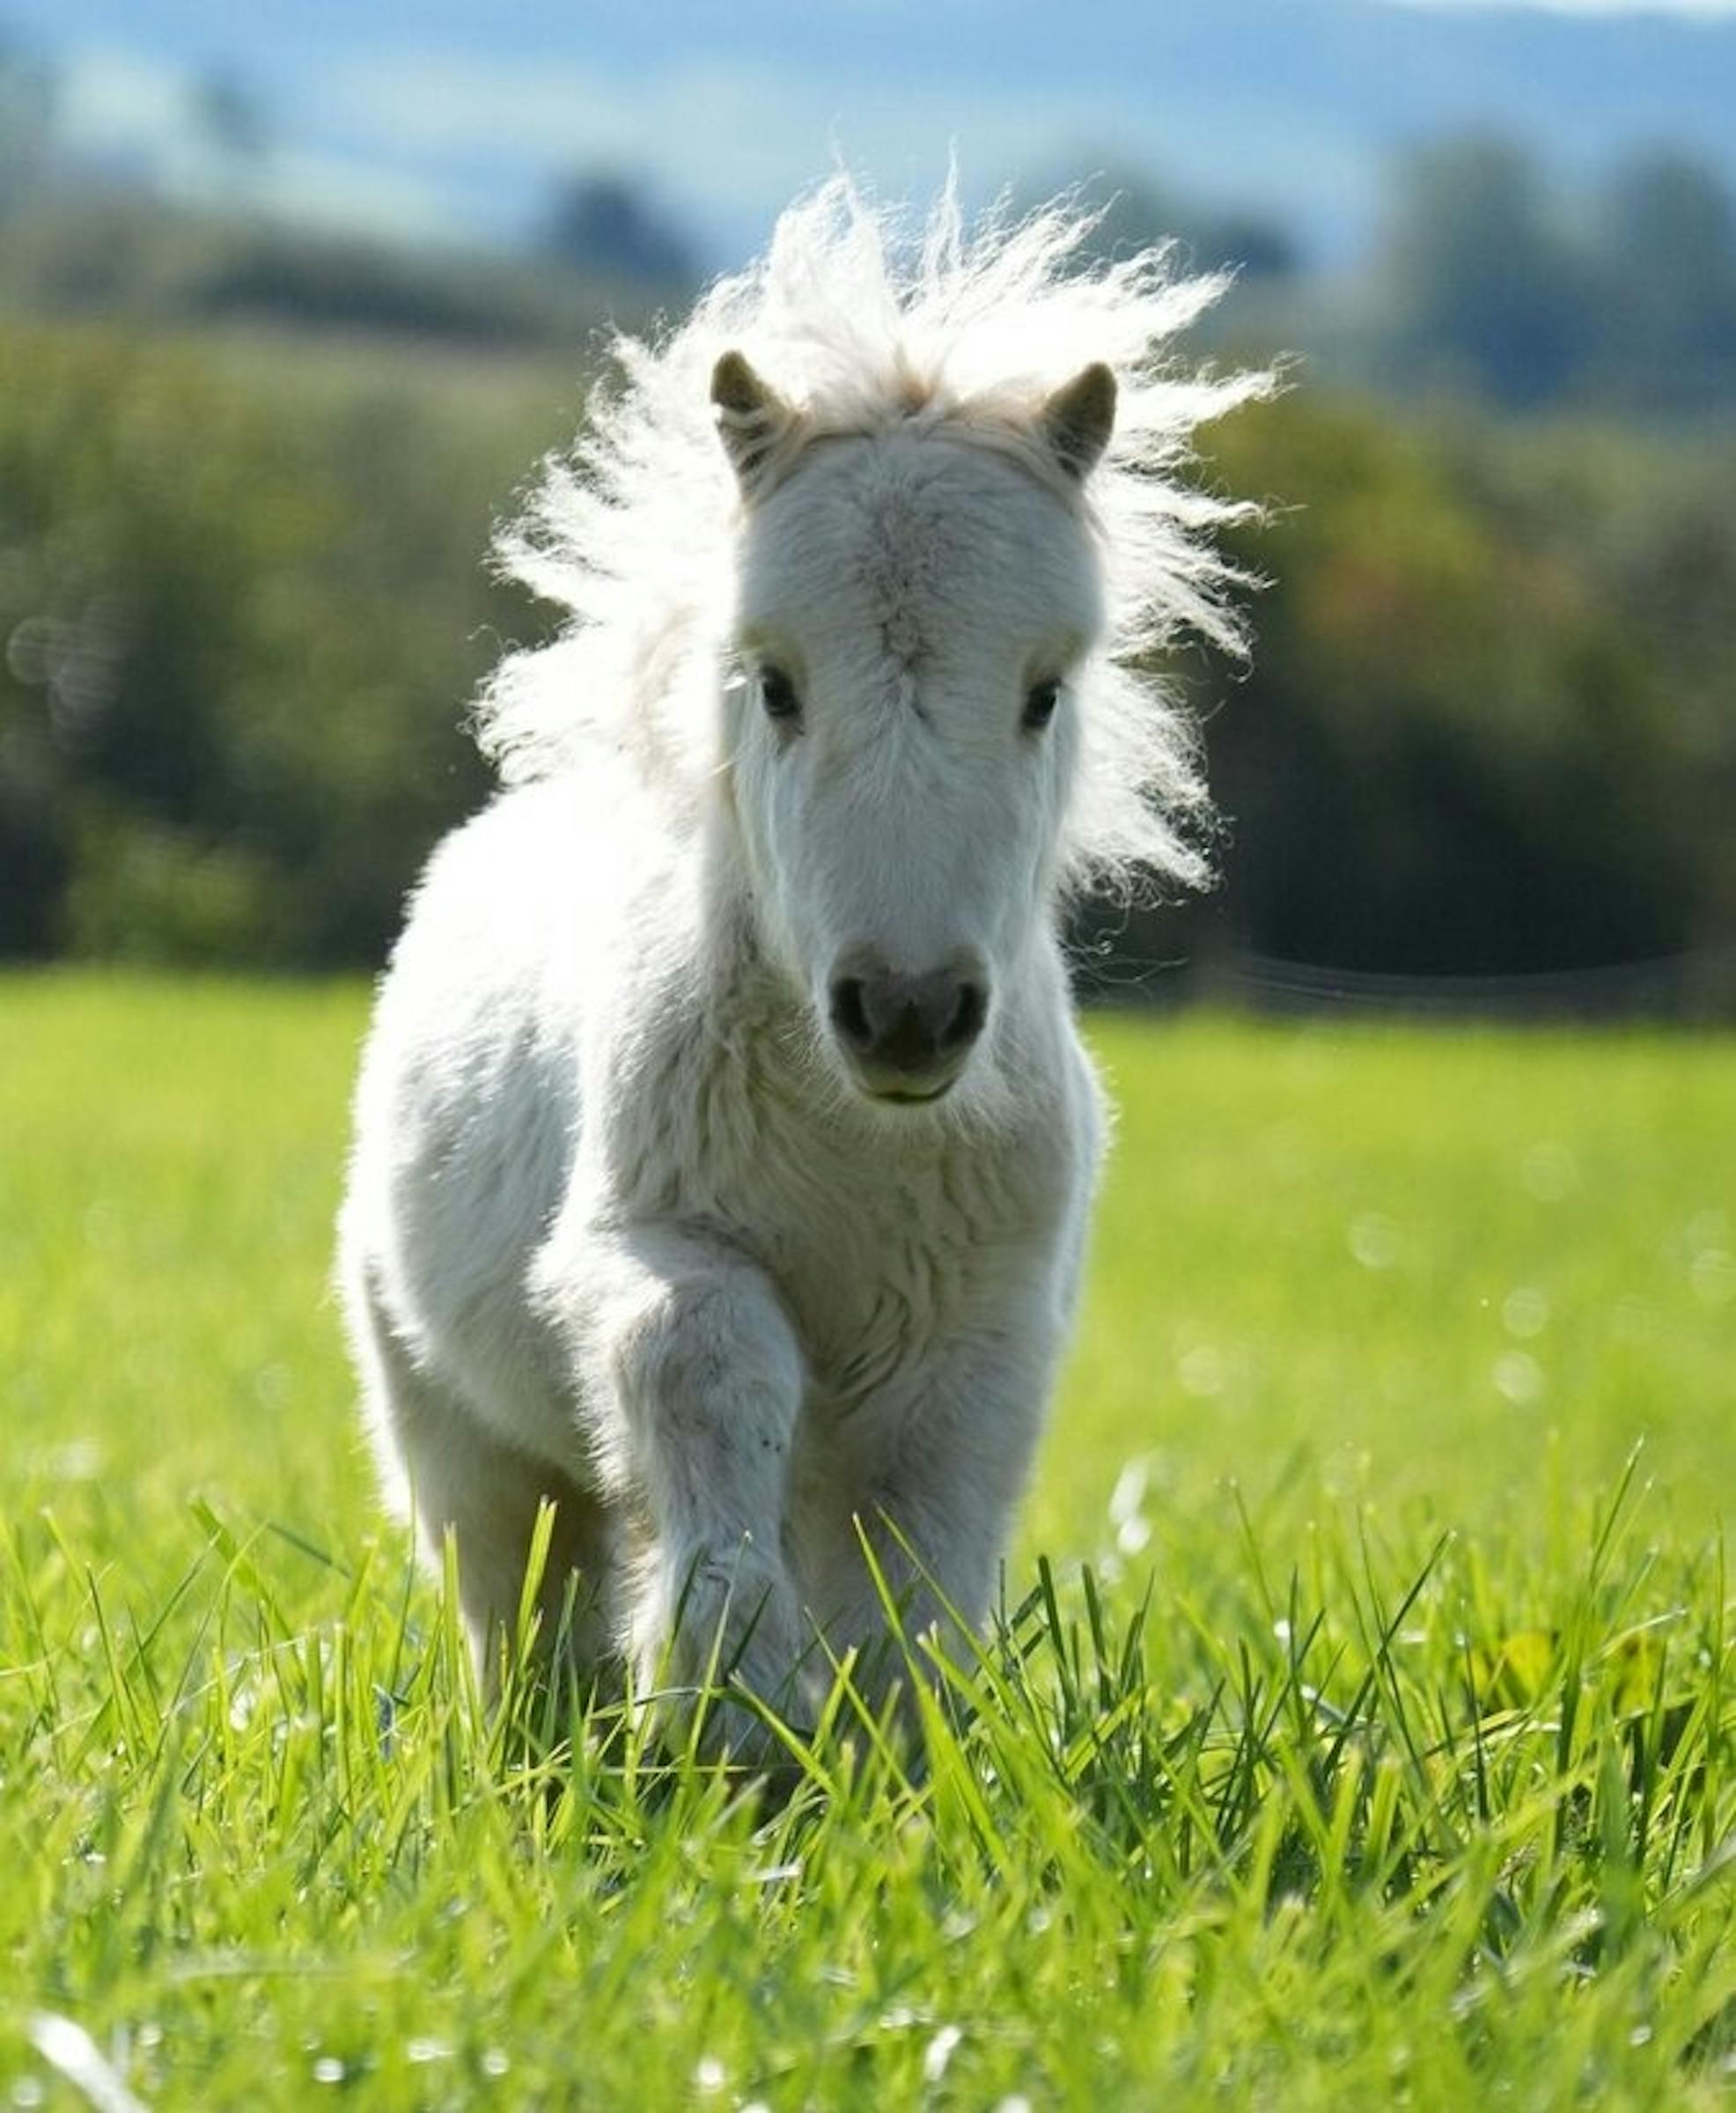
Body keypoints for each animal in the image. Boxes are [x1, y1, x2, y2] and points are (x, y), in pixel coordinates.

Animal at [338, 177, 1268, 1751]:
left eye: (1044, 691)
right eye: (773, 682)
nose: (906, 1011)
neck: (856, 1145)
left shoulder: (983, 1329)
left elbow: (922, 1545)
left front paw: (886, 1747)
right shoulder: (648, 1246)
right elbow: (708, 1367)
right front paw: (727, 1691)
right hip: (455, 1435)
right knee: (520, 1605)